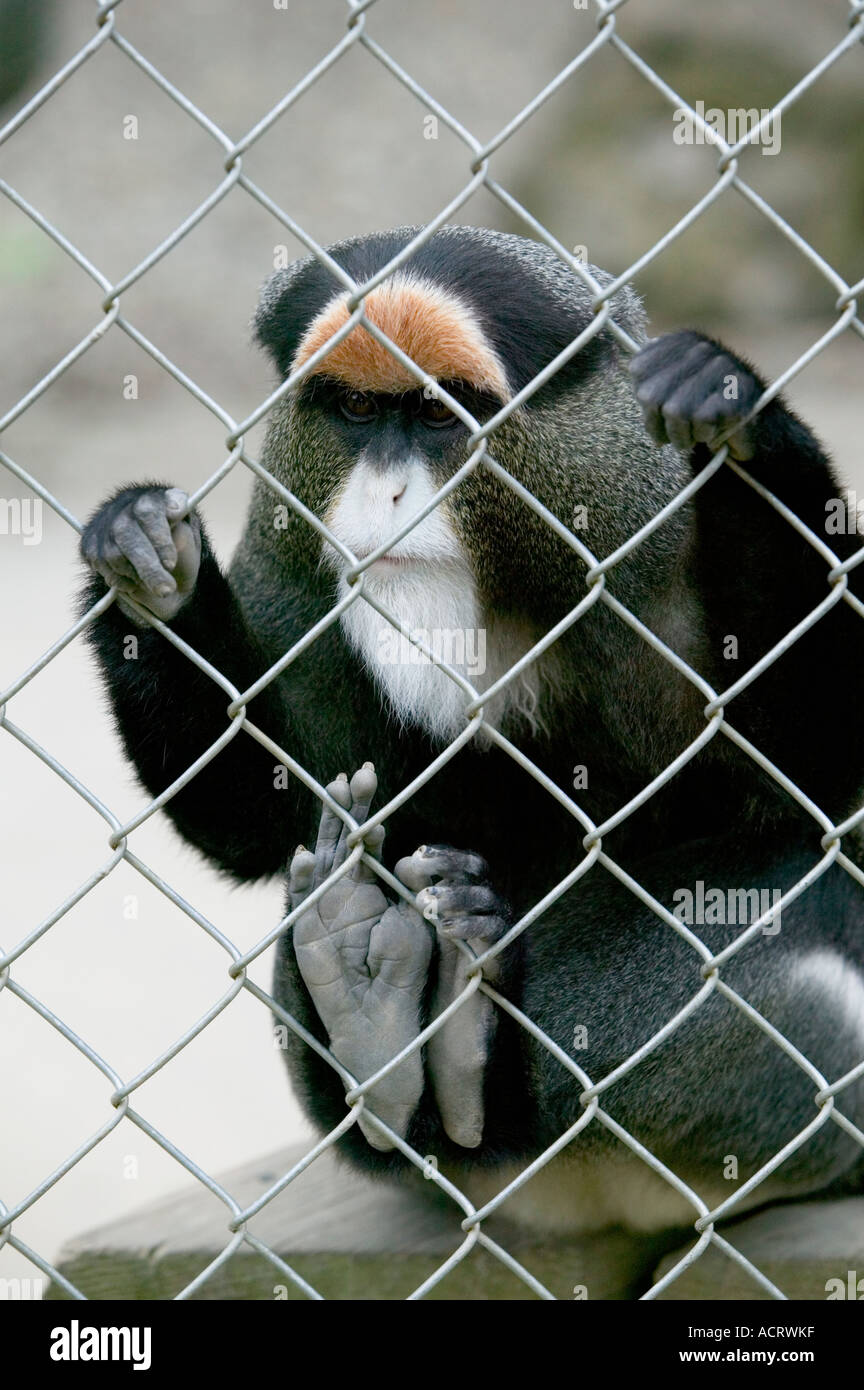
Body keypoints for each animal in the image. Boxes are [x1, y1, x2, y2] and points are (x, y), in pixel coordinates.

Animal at [79, 225, 864, 1238]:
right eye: (358, 408)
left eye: (438, 413)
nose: (386, 490)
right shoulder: (290, 570)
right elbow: (256, 821)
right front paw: (144, 558)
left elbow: (814, 777)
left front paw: (729, 416)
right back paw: (378, 1005)